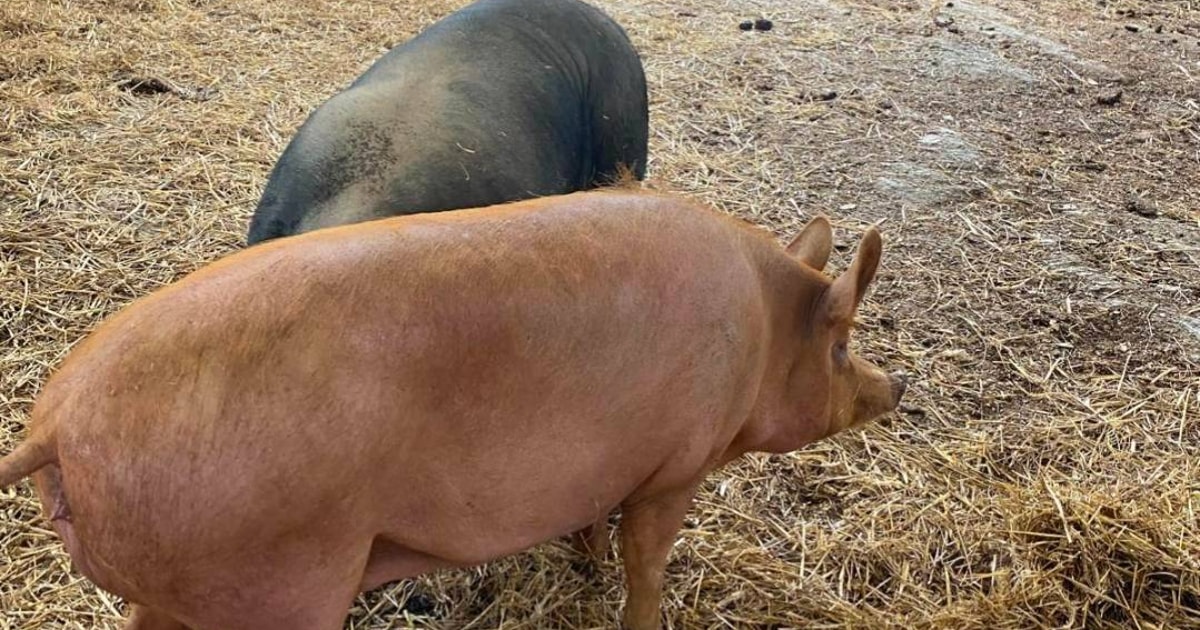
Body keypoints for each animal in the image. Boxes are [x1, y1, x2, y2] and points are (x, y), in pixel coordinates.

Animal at [0, 189, 907, 630]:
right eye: (841, 346)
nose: (895, 386)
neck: (763, 328)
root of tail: (53, 427)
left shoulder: (608, 466)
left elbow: (593, 524)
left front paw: (586, 562)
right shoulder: (676, 465)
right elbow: (646, 562)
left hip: (181, 587)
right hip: (276, 583)